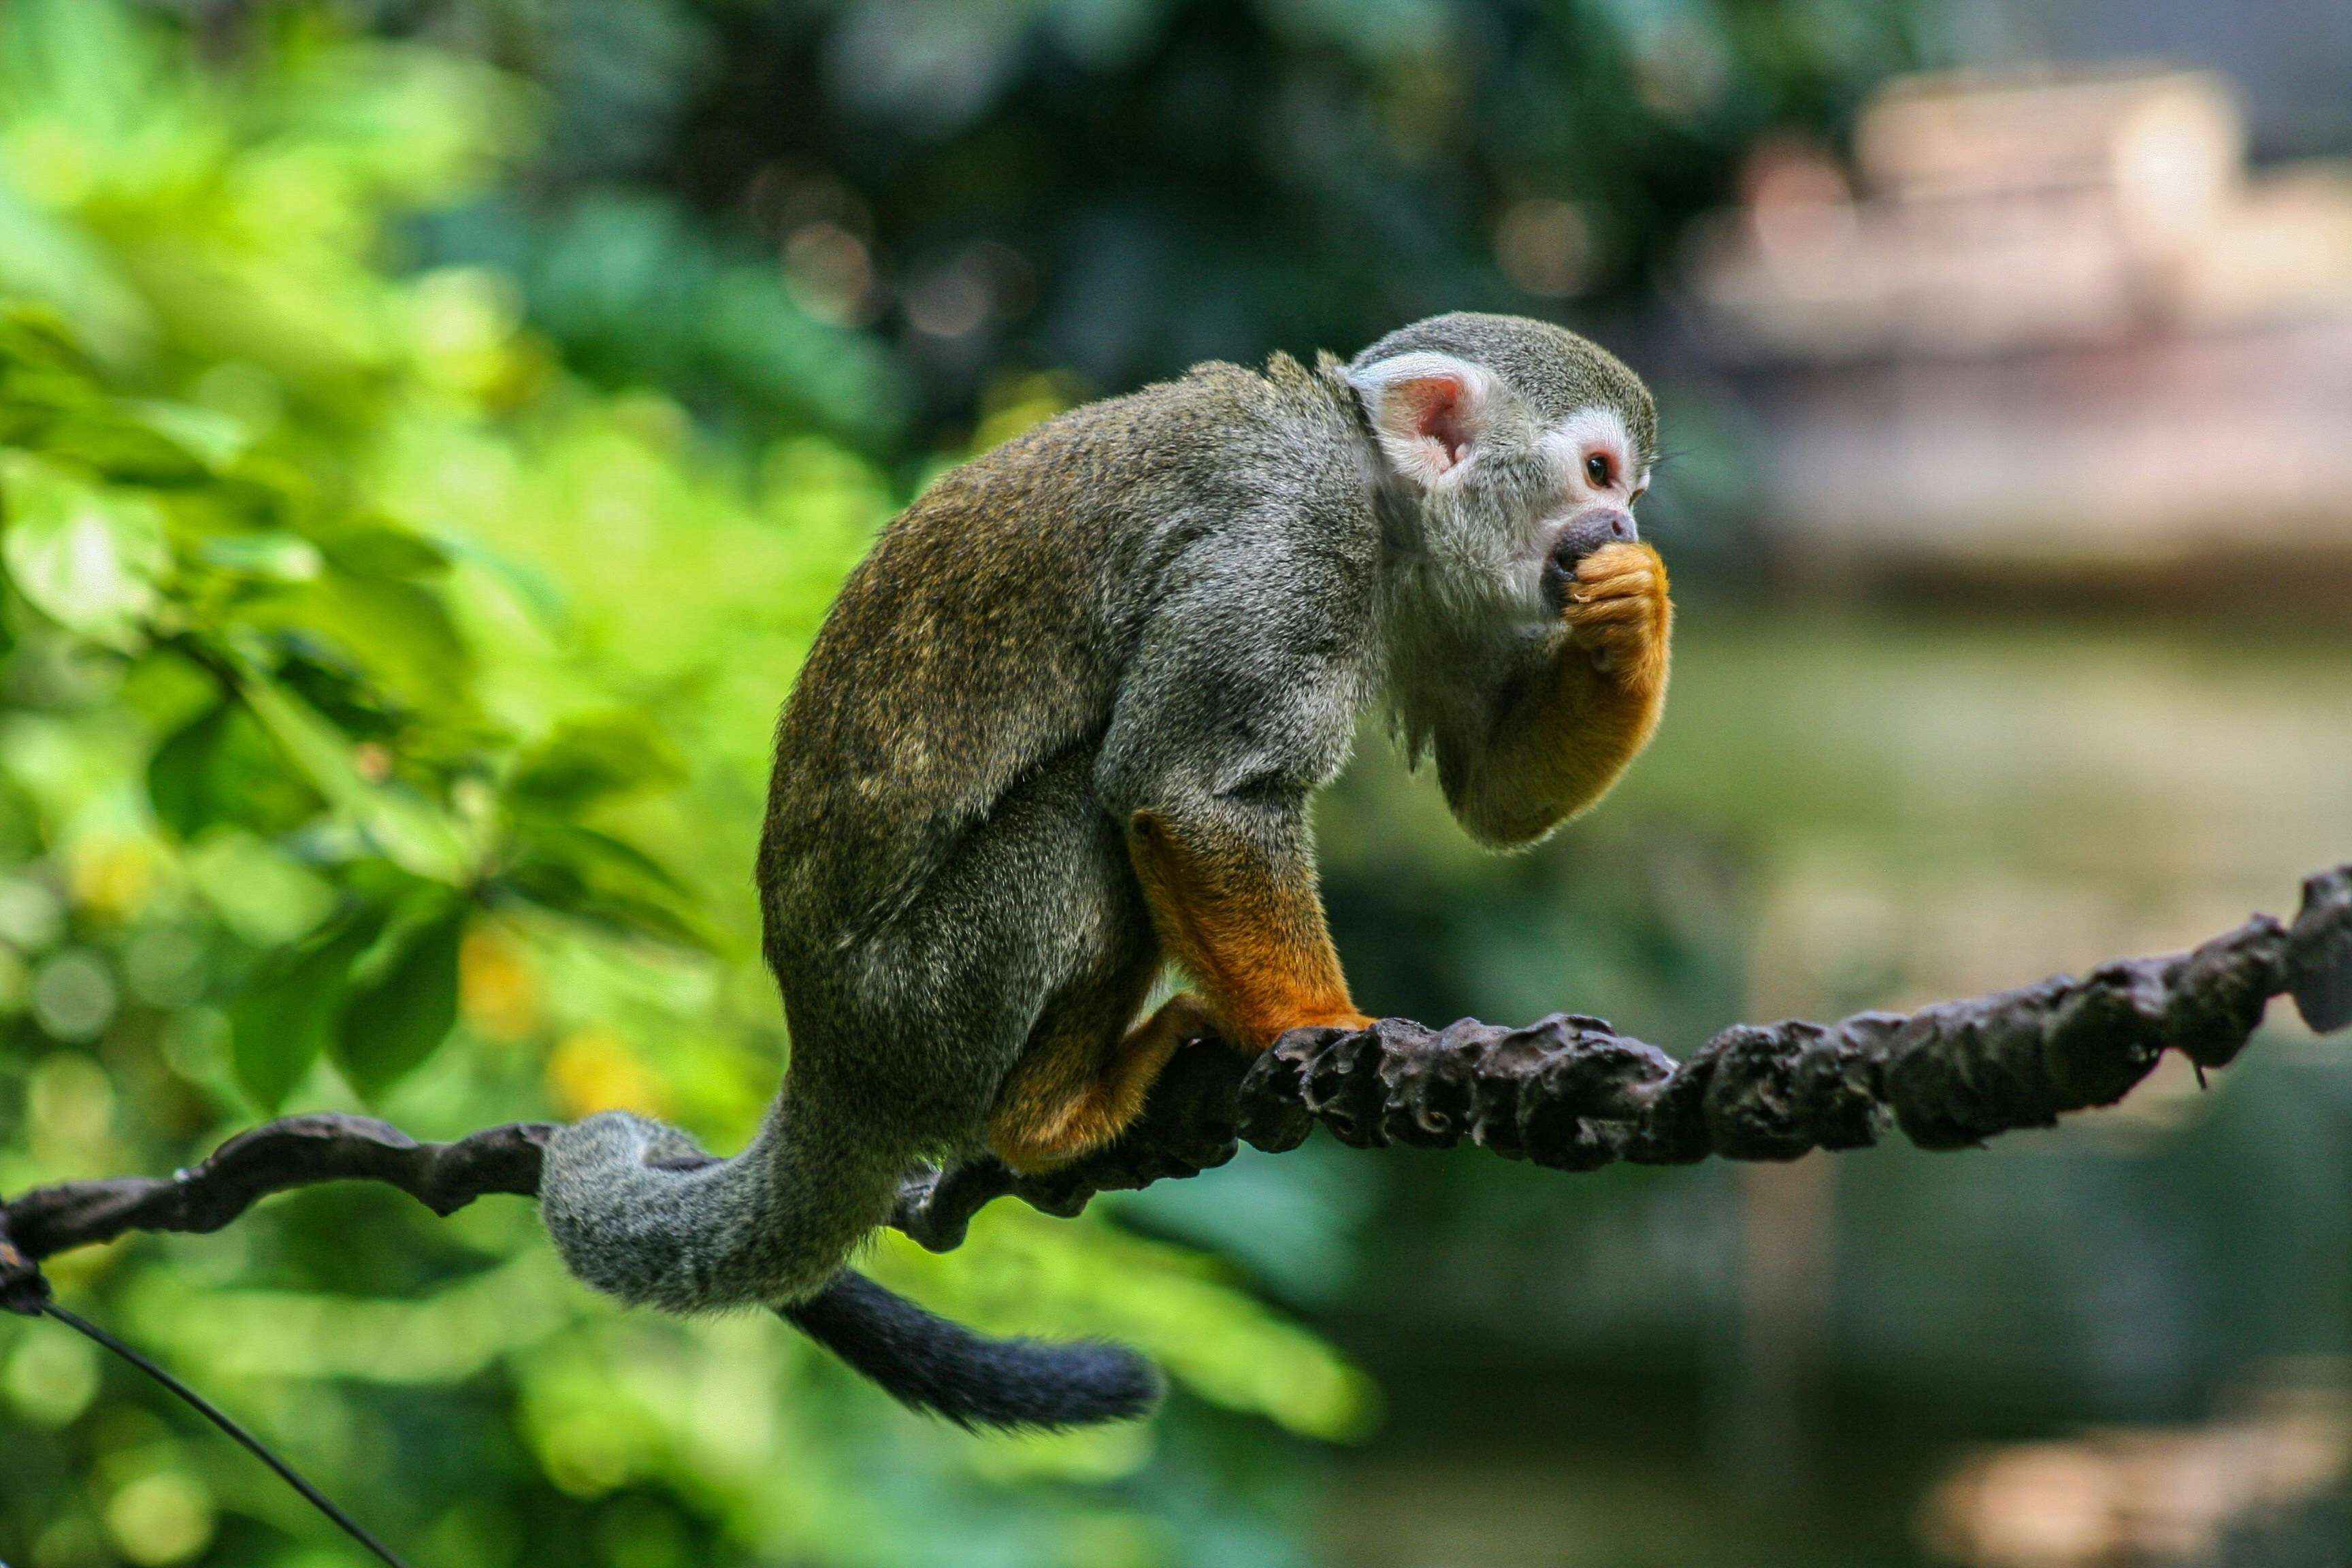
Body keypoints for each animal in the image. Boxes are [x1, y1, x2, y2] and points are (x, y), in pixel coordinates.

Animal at [538, 311, 1670, 1429]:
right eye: (1599, 472)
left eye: (1627, 492)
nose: (1620, 532)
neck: (1384, 499)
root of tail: (826, 1063)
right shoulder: (1280, 547)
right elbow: (1188, 789)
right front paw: (1320, 1031)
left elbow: (1495, 795)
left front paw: (1636, 617)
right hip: (931, 1004)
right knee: (1089, 805)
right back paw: (1047, 1119)